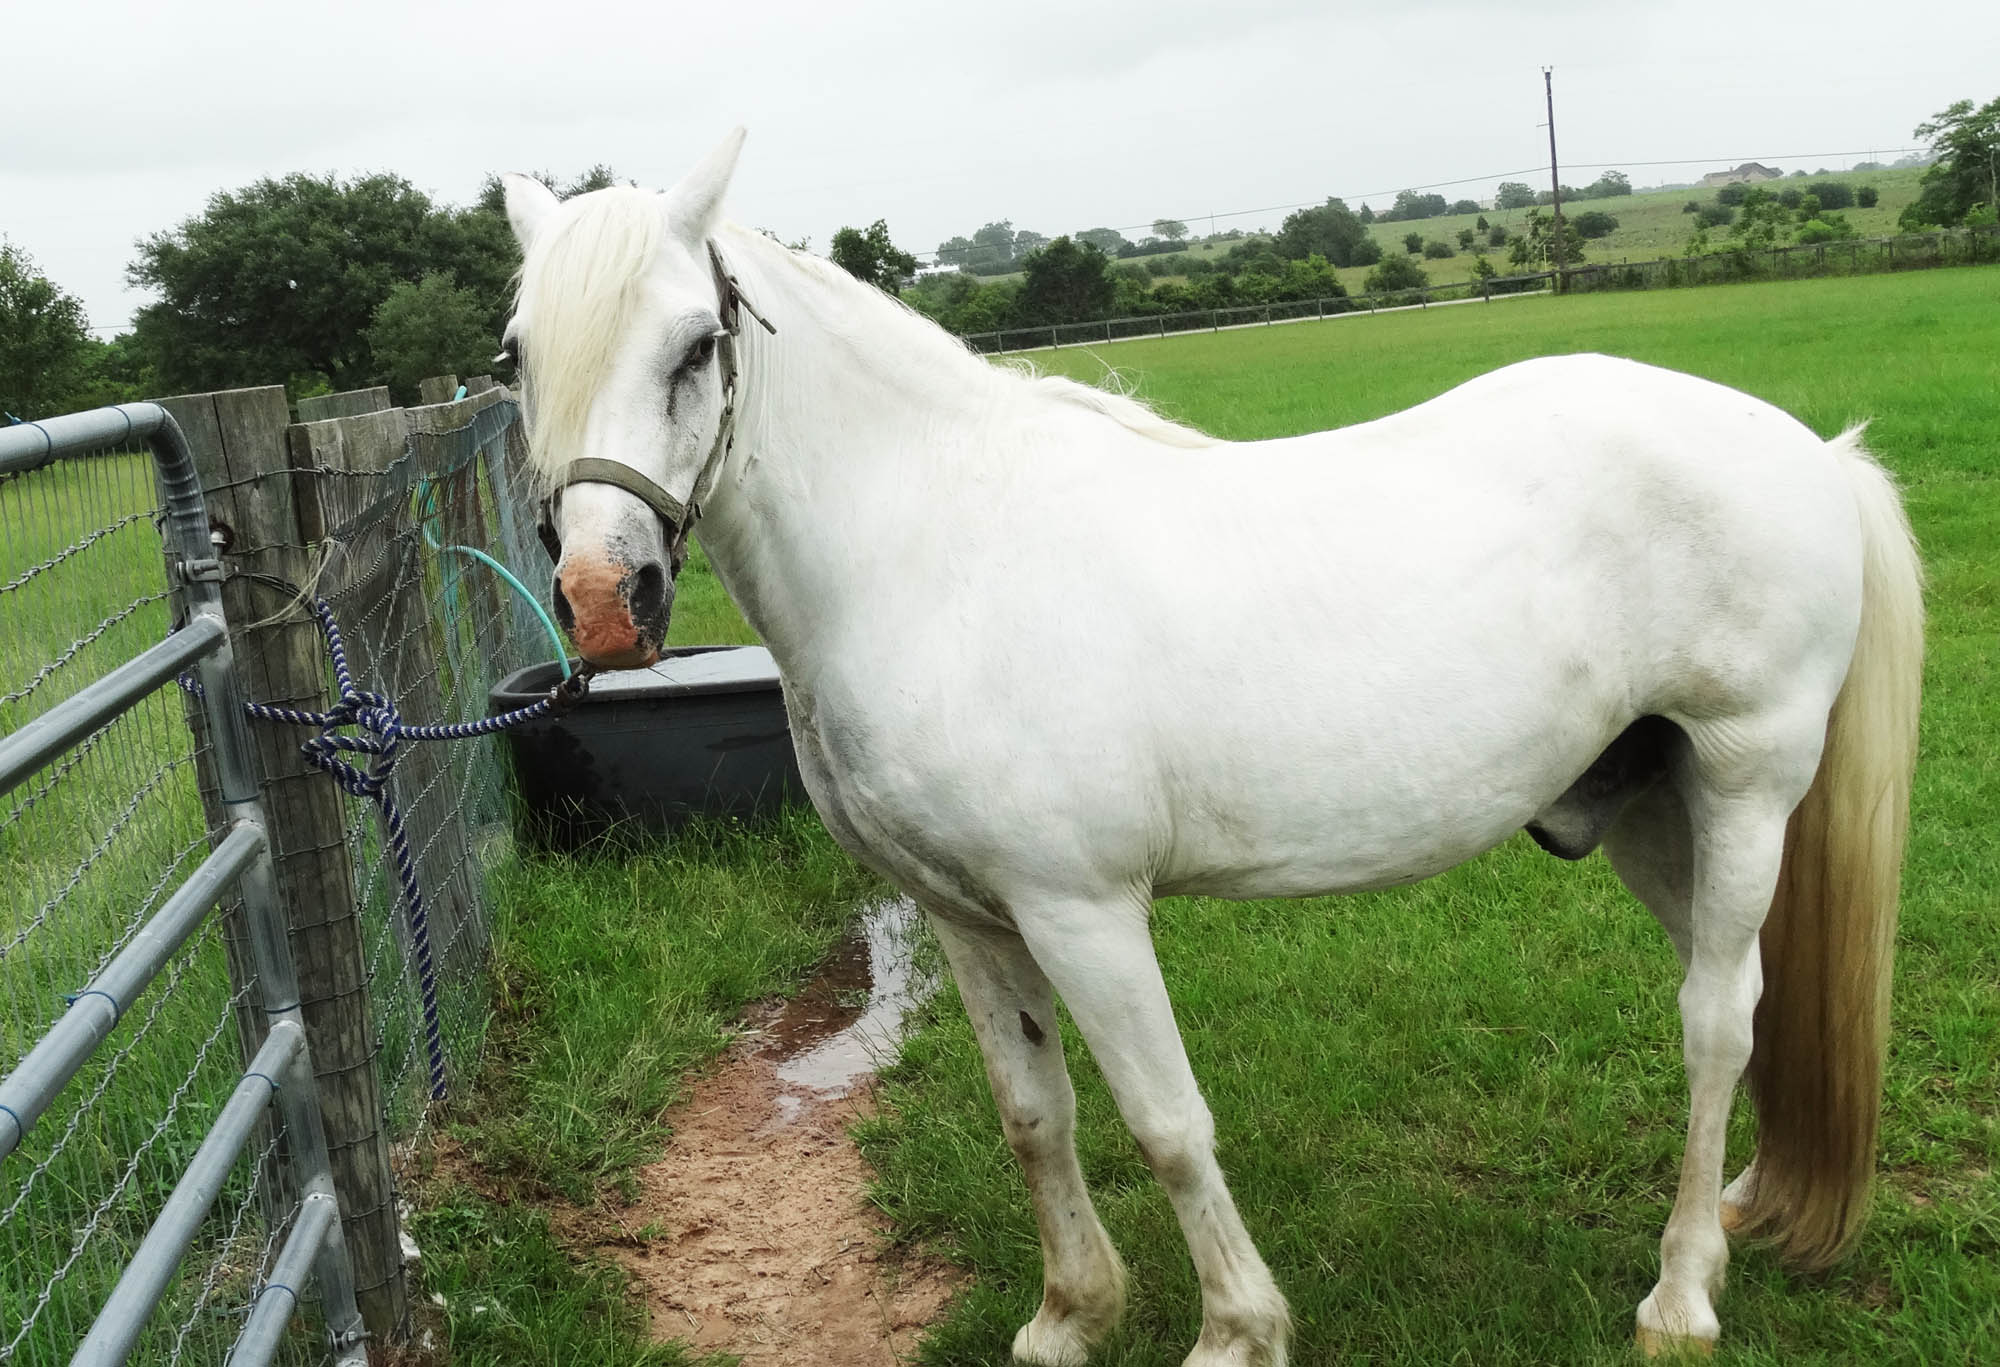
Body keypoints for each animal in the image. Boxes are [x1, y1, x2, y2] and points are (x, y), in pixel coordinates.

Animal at [497, 131, 1922, 1366]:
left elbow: (1166, 1122)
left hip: (1742, 781)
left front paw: (1235, 1329)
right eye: (516, 353)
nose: (603, 598)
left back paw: (1678, 1294)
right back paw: (1741, 1201)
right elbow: (1035, 1115)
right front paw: (1069, 1314)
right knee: (1738, 995)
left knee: (1713, 1018)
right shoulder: (964, 914)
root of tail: (1810, 451)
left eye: (695, 347)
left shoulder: (1080, 911)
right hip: (1651, 806)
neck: (935, 553)